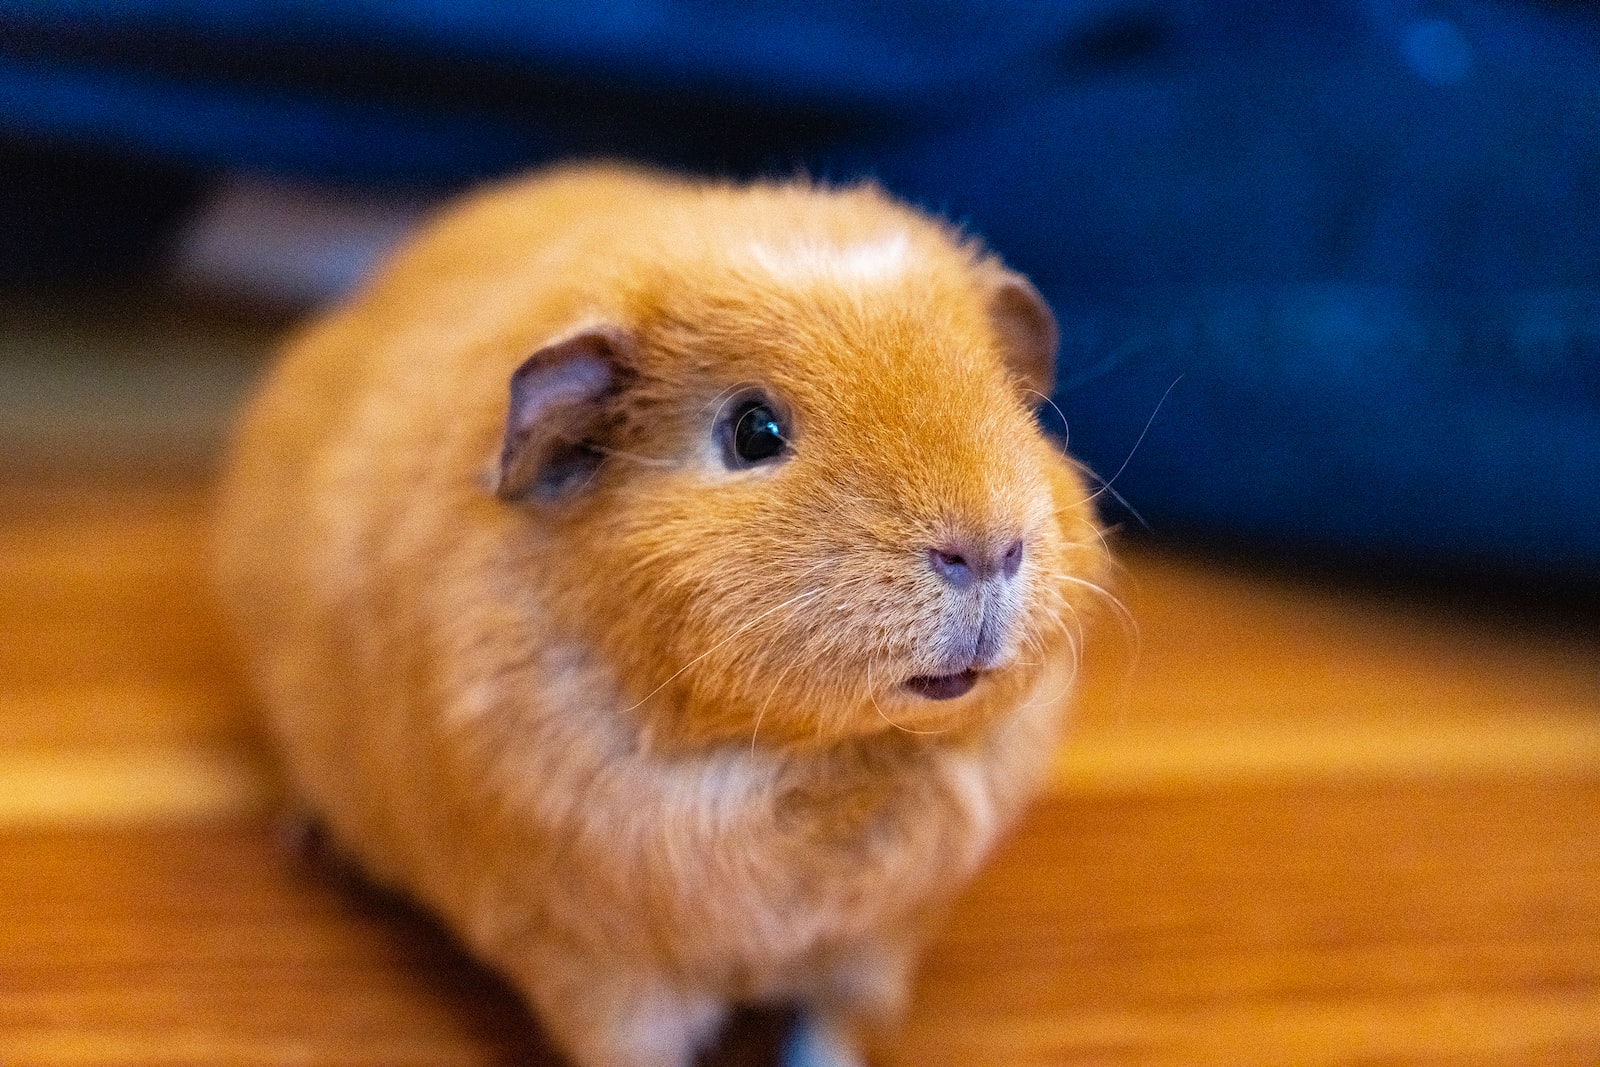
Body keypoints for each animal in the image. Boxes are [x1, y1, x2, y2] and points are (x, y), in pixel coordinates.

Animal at [213, 163, 1105, 1067]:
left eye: (999, 391)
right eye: (754, 430)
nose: (988, 546)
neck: (828, 764)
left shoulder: (870, 949)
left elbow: (832, 1034)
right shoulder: (601, 970)